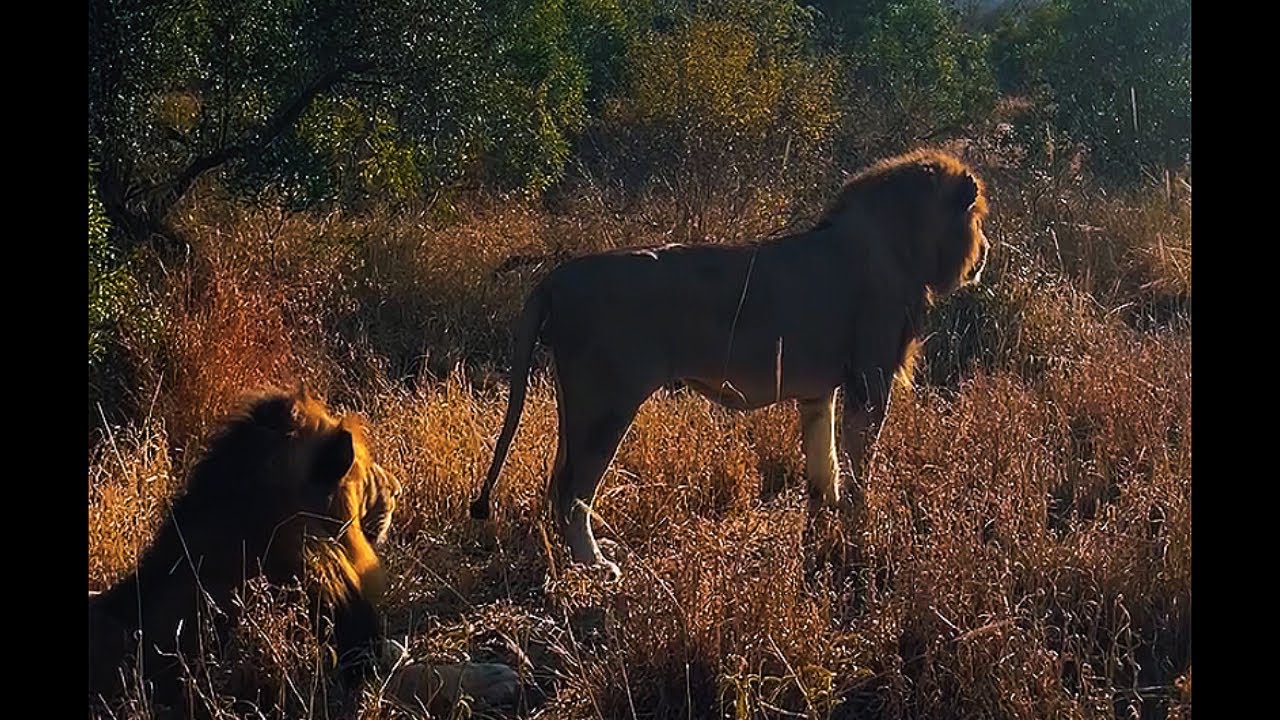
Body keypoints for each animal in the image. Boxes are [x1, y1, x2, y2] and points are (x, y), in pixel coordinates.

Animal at [470, 149, 991, 578]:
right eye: (979, 220)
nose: (985, 252)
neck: (902, 243)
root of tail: (556, 277)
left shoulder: (820, 390)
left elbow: (823, 464)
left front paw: (823, 524)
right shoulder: (871, 378)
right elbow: (857, 461)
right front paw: (860, 523)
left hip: (577, 402)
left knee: (557, 481)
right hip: (607, 402)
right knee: (572, 489)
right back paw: (595, 564)